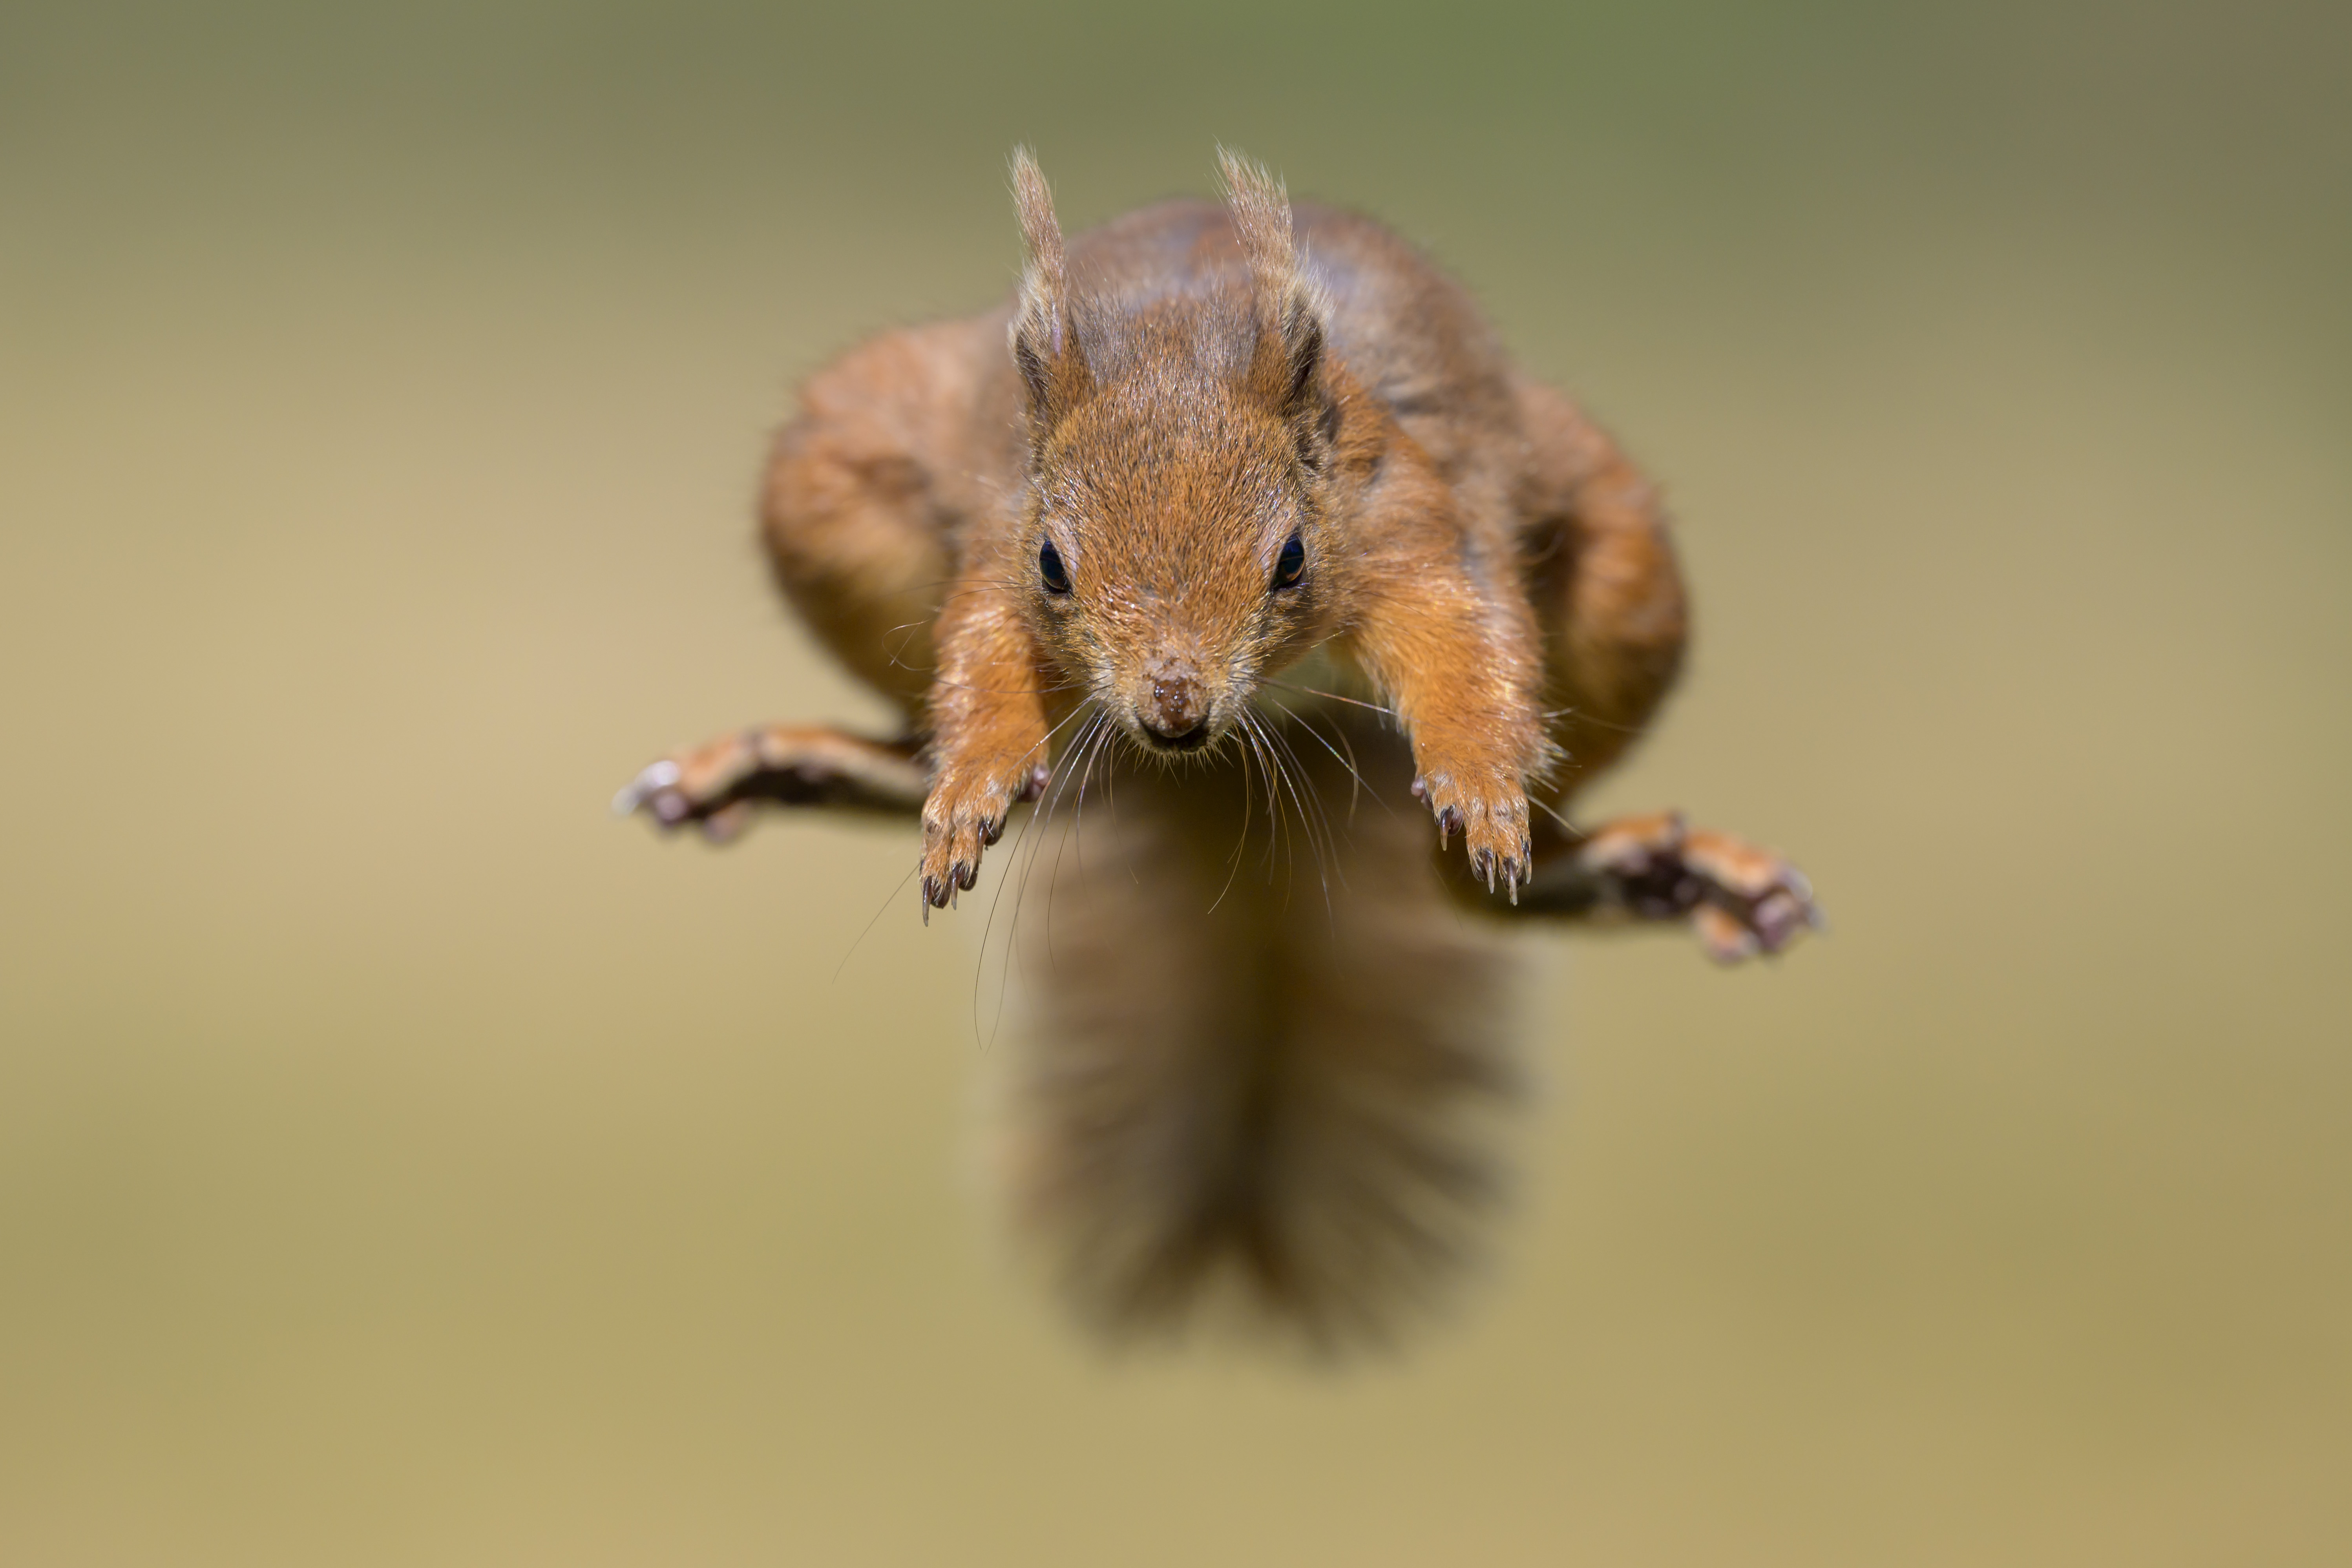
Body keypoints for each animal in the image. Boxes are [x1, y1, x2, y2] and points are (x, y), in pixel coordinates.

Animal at [618, 149, 1820, 1349]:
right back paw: (818, 764)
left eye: (1290, 558)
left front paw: (1481, 784)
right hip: (830, 474)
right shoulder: (998, 534)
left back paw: (1641, 867)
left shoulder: (1414, 520)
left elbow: (1468, 651)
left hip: (1626, 577)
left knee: (1468, 879)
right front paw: (971, 785)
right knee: (1002, 767)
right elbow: (980, 658)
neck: (1179, 344)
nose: (1173, 709)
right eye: (1053, 562)